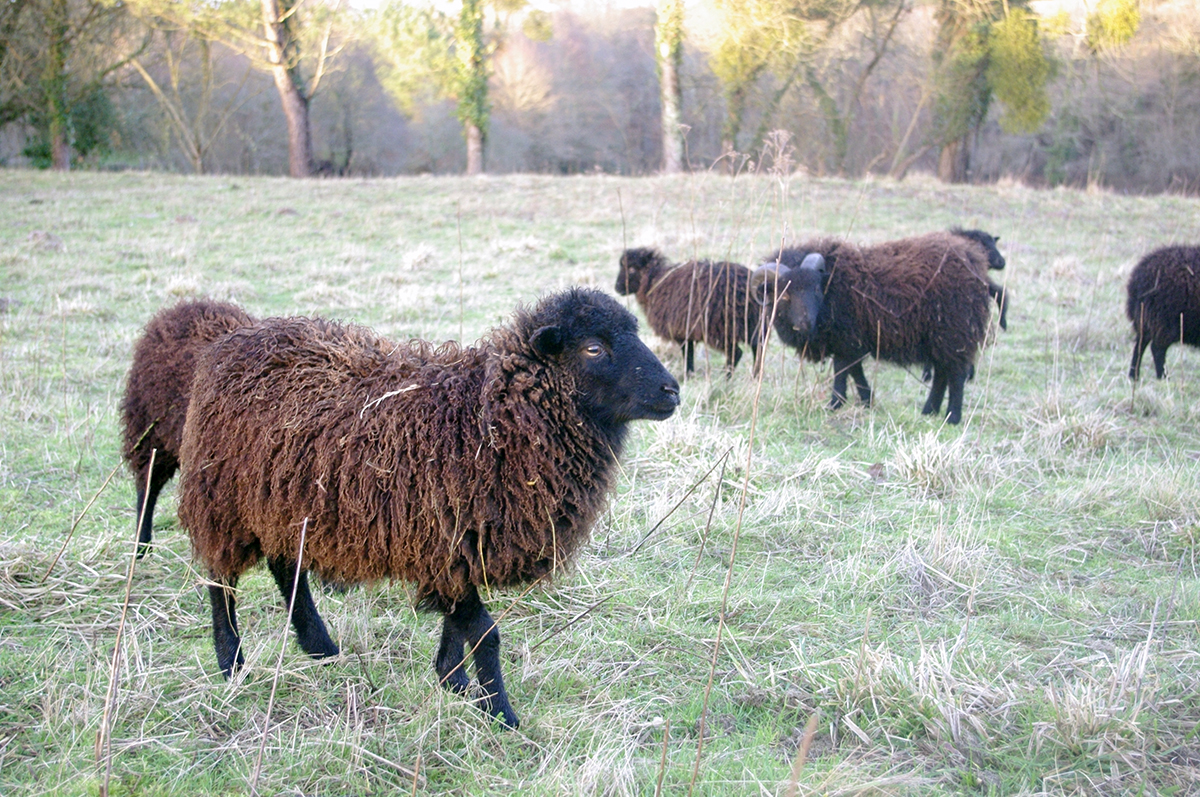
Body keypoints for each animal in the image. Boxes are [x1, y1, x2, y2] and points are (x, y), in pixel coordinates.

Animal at [177, 288, 680, 729]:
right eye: (593, 348)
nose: (672, 391)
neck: (488, 421)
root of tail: (231, 342)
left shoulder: (457, 548)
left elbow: (460, 624)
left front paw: (452, 681)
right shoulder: (443, 541)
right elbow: (486, 632)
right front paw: (500, 713)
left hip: (282, 504)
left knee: (287, 567)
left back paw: (318, 644)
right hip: (222, 501)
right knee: (220, 580)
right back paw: (232, 662)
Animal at [615, 247, 762, 376]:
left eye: (632, 269)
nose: (617, 287)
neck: (655, 282)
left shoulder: (681, 330)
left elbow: (687, 354)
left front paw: (688, 375)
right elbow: (689, 353)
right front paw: (690, 374)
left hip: (721, 329)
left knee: (735, 353)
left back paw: (726, 378)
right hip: (752, 323)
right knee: (758, 348)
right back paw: (755, 376)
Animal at [751, 232, 991, 424]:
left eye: (817, 289)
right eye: (784, 294)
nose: (805, 324)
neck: (833, 289)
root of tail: (973, 261)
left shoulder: (846, 340)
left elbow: (842, 371)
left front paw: (835, 404)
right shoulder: (851, 343)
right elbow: (856, 371)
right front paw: (867, 401)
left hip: (954, 333)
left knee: (956, 375)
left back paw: (953, 417)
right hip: (938, 338)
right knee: (942, 373)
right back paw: (929, 411)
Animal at [1126, 244, 1200, 380]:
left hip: (1146, 318)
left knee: (1140, 344)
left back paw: (1134, 376)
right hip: (1163, 319)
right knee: (1157, 348)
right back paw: (1163, 377)